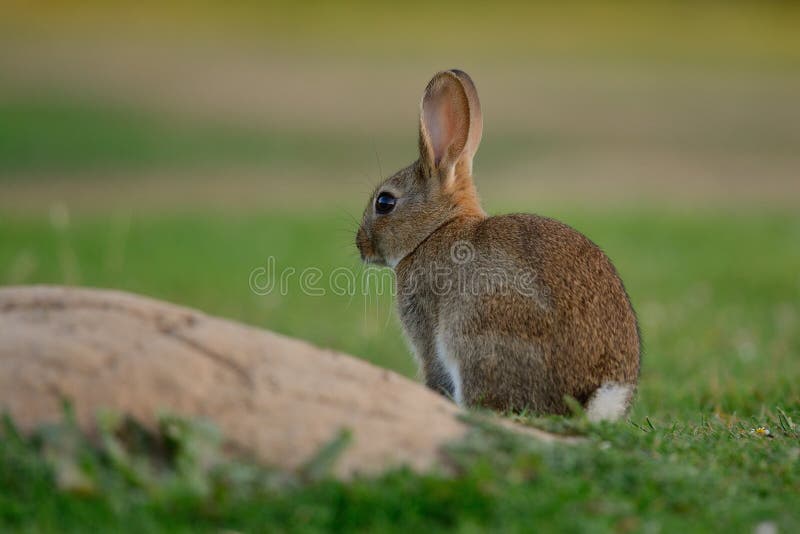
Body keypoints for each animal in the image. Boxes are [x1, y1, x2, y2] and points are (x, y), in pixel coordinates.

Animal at [356, 69, 640, 421]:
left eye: (384, 202)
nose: (360, 246)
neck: (436, 230)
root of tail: (591, 399)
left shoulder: (427, 333)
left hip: (474, 336)